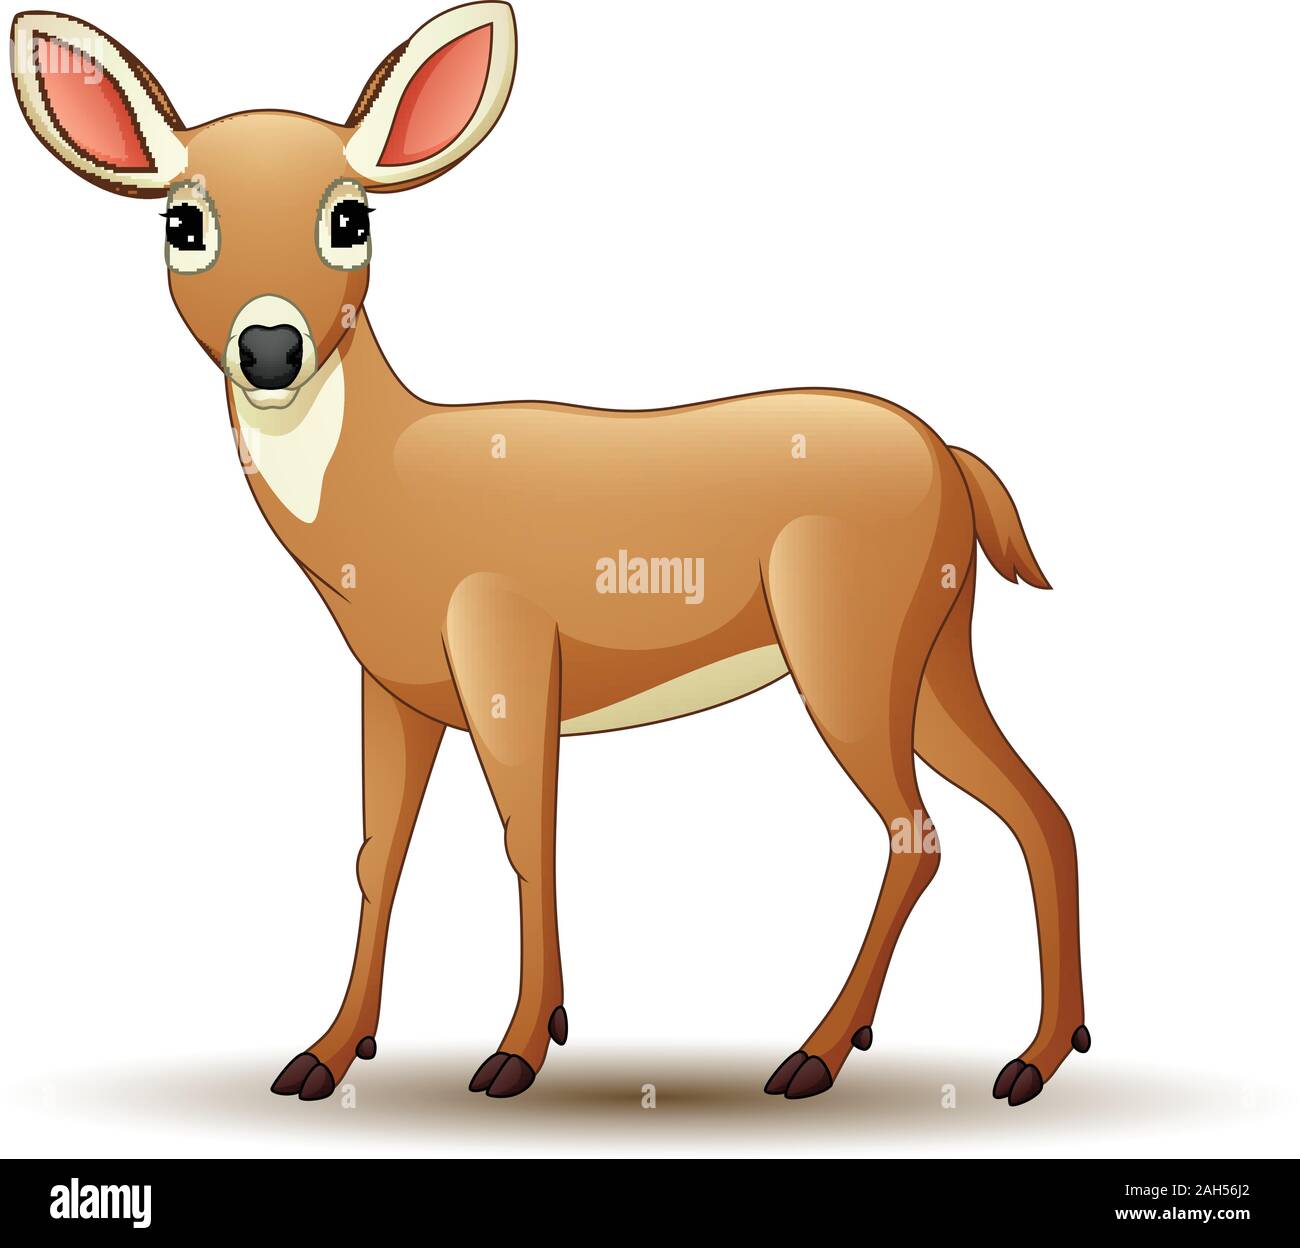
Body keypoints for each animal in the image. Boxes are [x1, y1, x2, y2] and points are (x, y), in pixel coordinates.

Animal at [10, 3, 1089, 1106]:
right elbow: (377, 853)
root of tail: (952, 459)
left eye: (350, 217)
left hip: (847, 646)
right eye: (183, 223)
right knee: (1040, 809)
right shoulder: (392, 687)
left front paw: (520, 1048)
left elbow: (529, 839)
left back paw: (817, 1055)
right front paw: (325, 1053)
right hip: (932, 651)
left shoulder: (509, 653)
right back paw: (1034, 1059)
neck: (381, 490)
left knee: (917, 830)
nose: (271, 348)